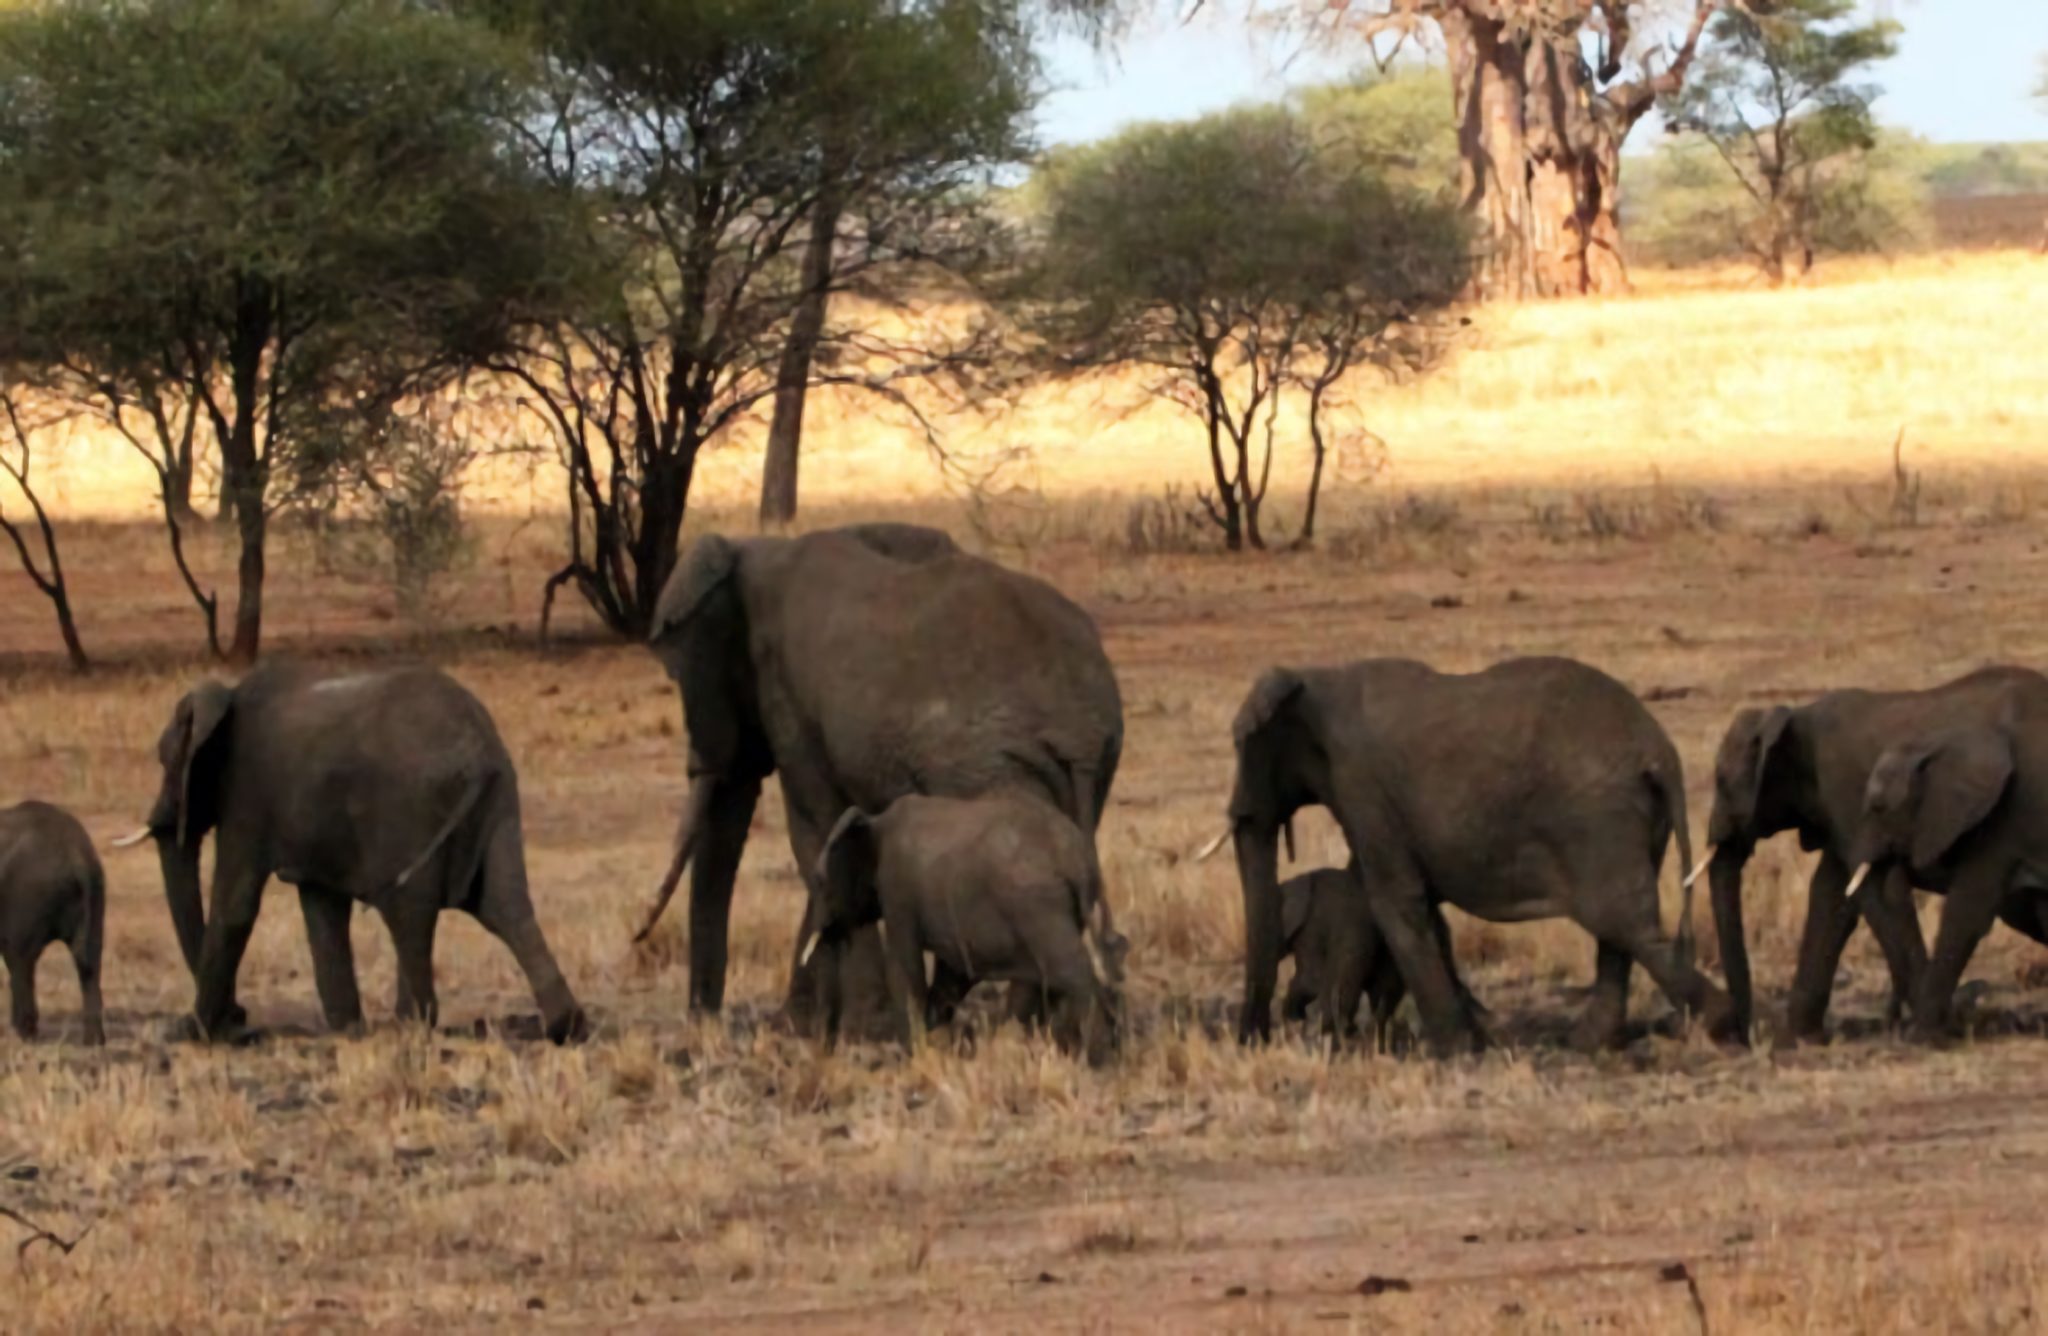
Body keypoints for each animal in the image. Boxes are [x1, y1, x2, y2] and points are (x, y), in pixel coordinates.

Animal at [0, 802, 105, 1045]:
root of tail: (76, 853)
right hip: (97, 891)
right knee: (89, 961)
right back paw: (94, 1041)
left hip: (27, 893)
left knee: (19, 959)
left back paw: (24, 1034)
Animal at [112, 659, 588, 1044]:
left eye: (165, 761)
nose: (240, 1017)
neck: (225, 697)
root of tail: (478, 750)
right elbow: (322, 908)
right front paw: (346, 1029)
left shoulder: (247, 792)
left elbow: (236, 905)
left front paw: (187, 1032)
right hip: (500, 802)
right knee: (505, 904)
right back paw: (565, 1026)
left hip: (408, 809)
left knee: (410, 911)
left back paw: (412, 1025)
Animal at [634, 523, 1123, 1032]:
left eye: (679, 675)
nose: (702, 1023)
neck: (754, 548)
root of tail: (1083, 732)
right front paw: (808, 1030)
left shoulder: (787, 699)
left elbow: (812, 831)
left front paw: (852, 1031)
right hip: (1082, 769)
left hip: (988, 764)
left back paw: (1009, 1028)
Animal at [801, 793, 1125, 1063]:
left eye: (819, 881)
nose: (827, 1049)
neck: (874, 821)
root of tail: (1076, 859)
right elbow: (952, 973)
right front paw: (939, 1039)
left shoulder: (897, 890)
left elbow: (905, 967)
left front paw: (914, 1052)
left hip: (1038, 906)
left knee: (1070, 973)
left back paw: (1095, 1056)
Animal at [1223, 656, 1738, 1055]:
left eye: (1242, 744)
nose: (1255, 1039)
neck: (1318, 675)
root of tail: (1661, 753)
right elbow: (1428, 913)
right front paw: (1477, 1038)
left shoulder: (1363, 791)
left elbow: (1396, 902)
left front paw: (1454, 1049)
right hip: (1635, 820)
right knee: (1622, 929)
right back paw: (1591, 1043)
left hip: (1599, 820)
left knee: (1623, 924)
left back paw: (1718, 1024)